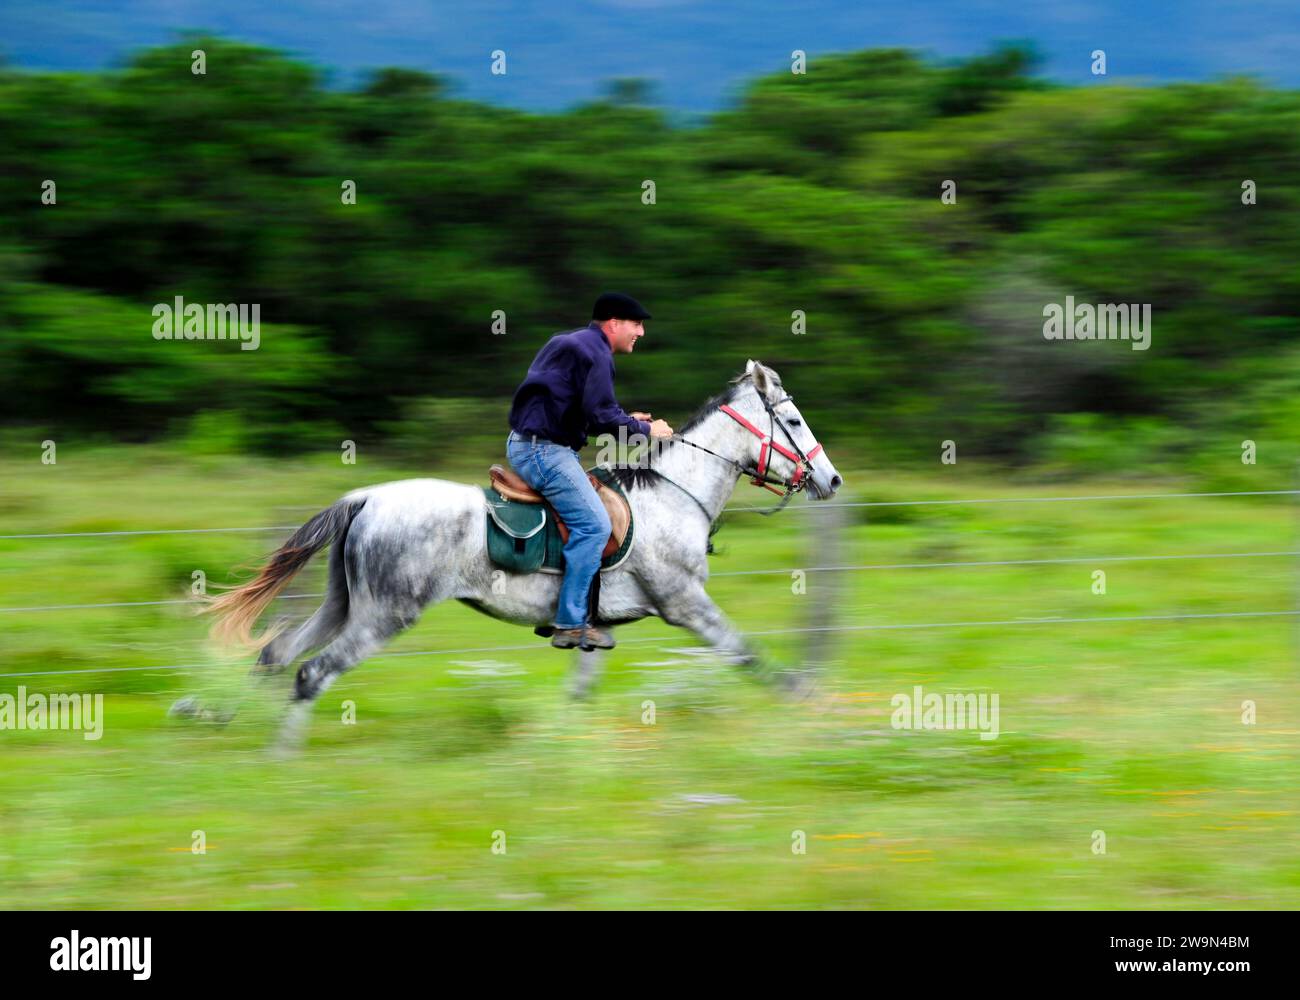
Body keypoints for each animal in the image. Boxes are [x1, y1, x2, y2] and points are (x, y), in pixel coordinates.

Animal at [199, 359, 843, 750]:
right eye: (792, 419)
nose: (831, 480)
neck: (673, 495)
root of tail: (366, 498)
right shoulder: (686, 604)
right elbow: (748, 654)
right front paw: (808, 707)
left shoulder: (602, 623)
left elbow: (580, 688)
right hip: (384, 616)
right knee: (311, 672)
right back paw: (280, 758)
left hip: (343, 604)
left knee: (275, 655)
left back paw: (220, 721)